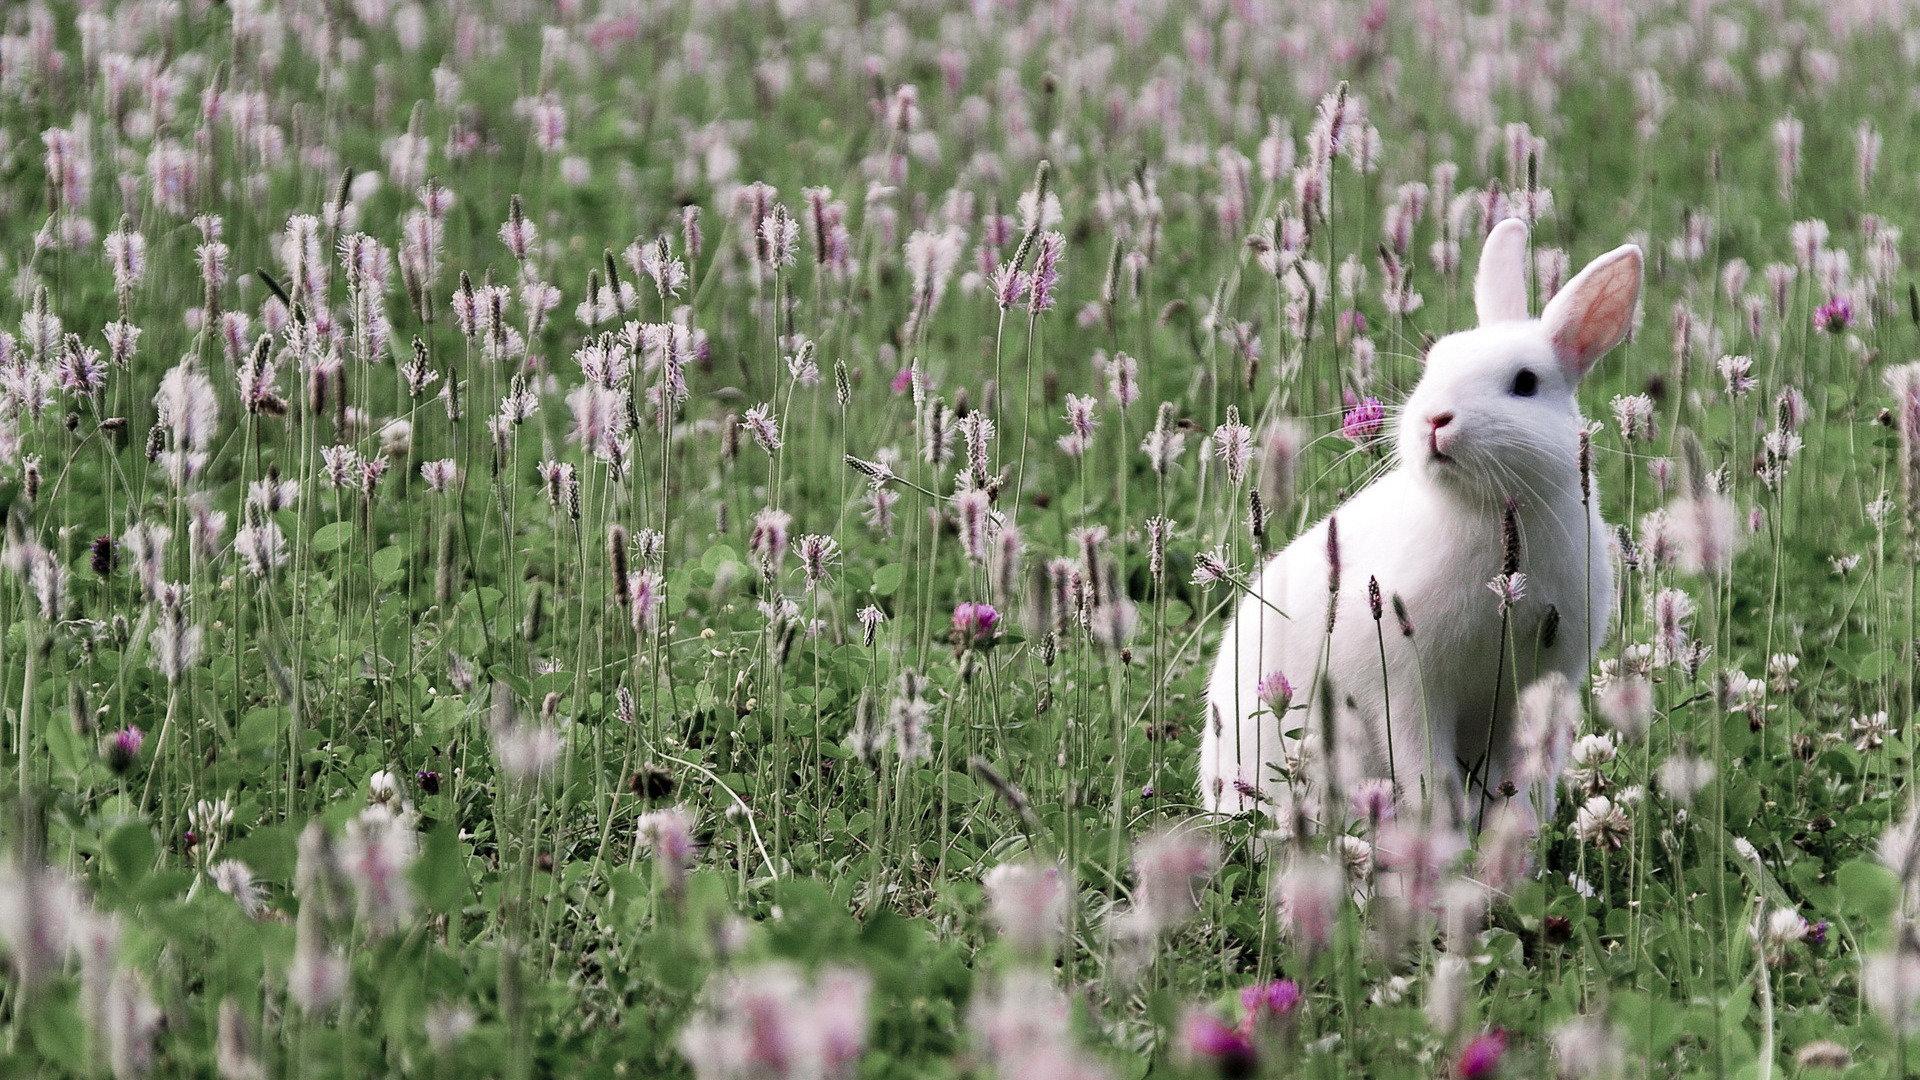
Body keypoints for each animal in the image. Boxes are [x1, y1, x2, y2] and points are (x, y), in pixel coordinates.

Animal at [1199, 217, 1641, 834]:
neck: (1482, 513)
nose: (1436, 419)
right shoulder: (1407, 690)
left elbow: (1525, 774)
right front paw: (1447, 834)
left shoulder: (1541, 685)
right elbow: (1427, 770)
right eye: (1435, 363)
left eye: (1526, 383)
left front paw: (1518, 833)